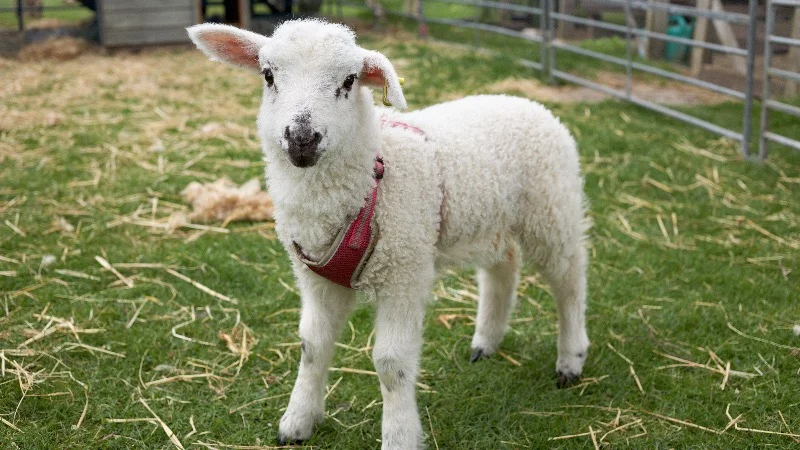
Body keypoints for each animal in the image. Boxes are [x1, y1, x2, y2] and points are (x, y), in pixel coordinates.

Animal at [187, 19, 590, 449]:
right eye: (268, 75)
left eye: (349, 81)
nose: (302, 138)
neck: (369, 175)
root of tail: (528, 103)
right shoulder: (316, 277)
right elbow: (312, 346)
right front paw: (298, 420)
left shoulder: (404, 271)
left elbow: (391, 363)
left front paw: (399, 435)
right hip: (492, 220)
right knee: (504, 268)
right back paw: (486, 341)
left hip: (552, 211)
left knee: (569, 282)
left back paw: (570, 358)